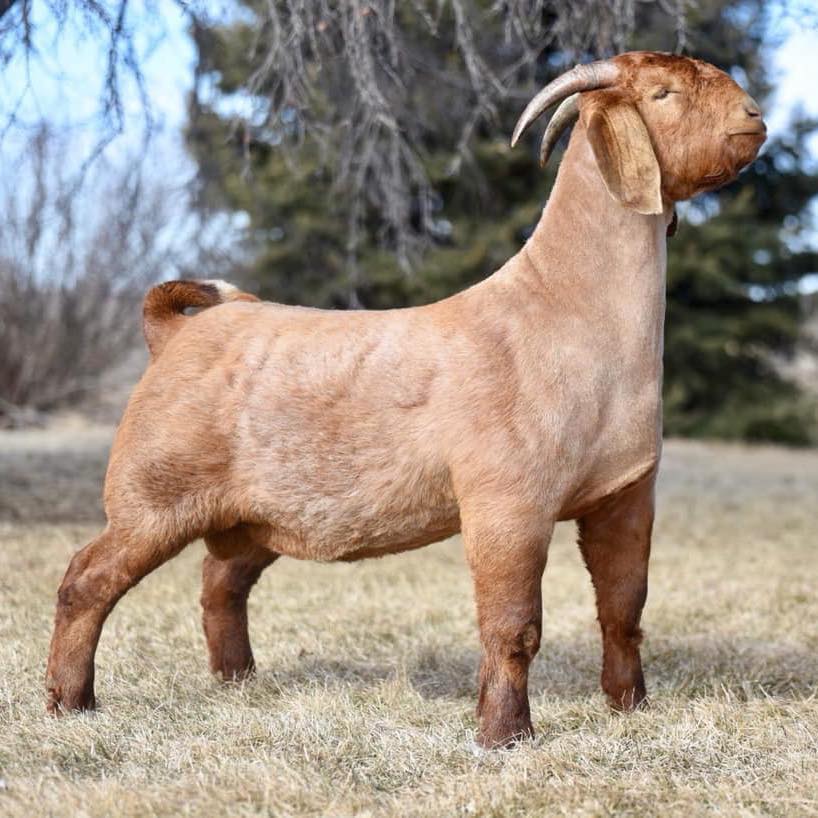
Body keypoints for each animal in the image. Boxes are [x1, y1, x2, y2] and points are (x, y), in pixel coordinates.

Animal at [46, 52, 766, 748]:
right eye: (663, 94)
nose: (754, 115)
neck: (561, 308)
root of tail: (173, 332)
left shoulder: (627, 491)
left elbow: (623, 607)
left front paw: (629, 706)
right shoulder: (506, 502)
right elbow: (513, 626)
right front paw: (505, 736)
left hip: (249, 514)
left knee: (220, 584)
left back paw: (236, 681)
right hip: (152, 495)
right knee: (87, 578)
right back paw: (68, 702)